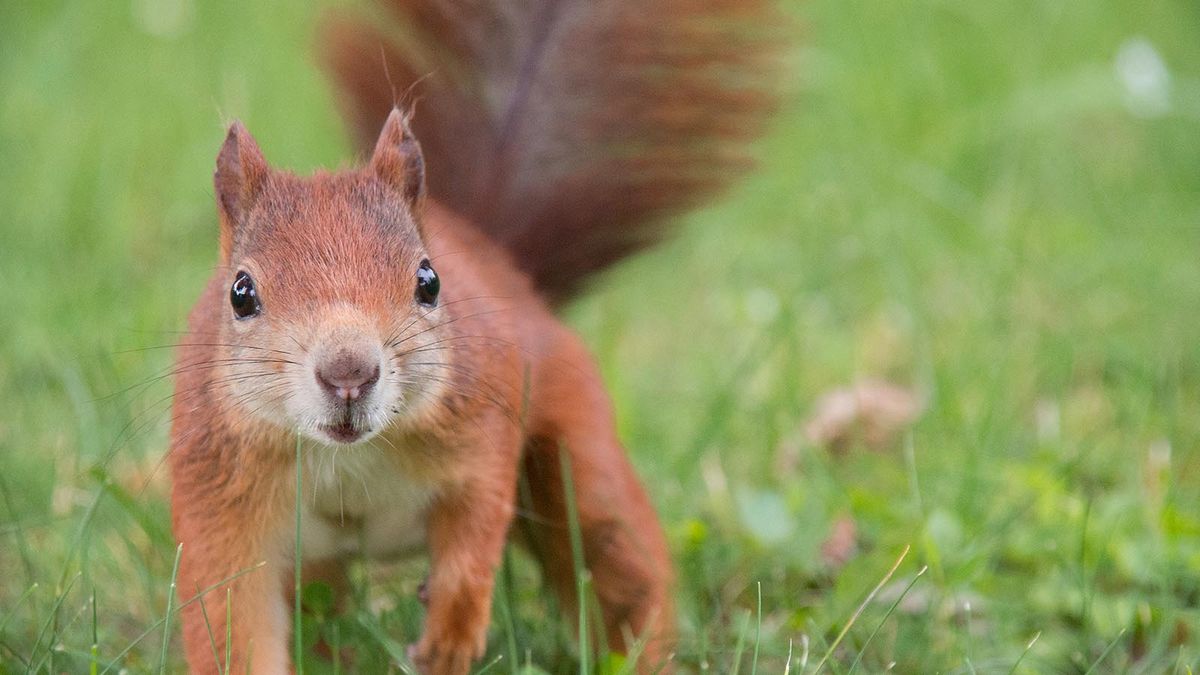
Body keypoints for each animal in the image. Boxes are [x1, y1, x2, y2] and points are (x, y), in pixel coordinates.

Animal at [169, 1, 777, 672]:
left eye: (429, 281)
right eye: (240, 294)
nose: (349, 373)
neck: (348, 456)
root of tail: (501, 263)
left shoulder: (482, 428)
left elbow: (477, 526)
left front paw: (451, 633)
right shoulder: (220, 497)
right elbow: (232, 618)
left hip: (575, 454)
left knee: (617, 563)